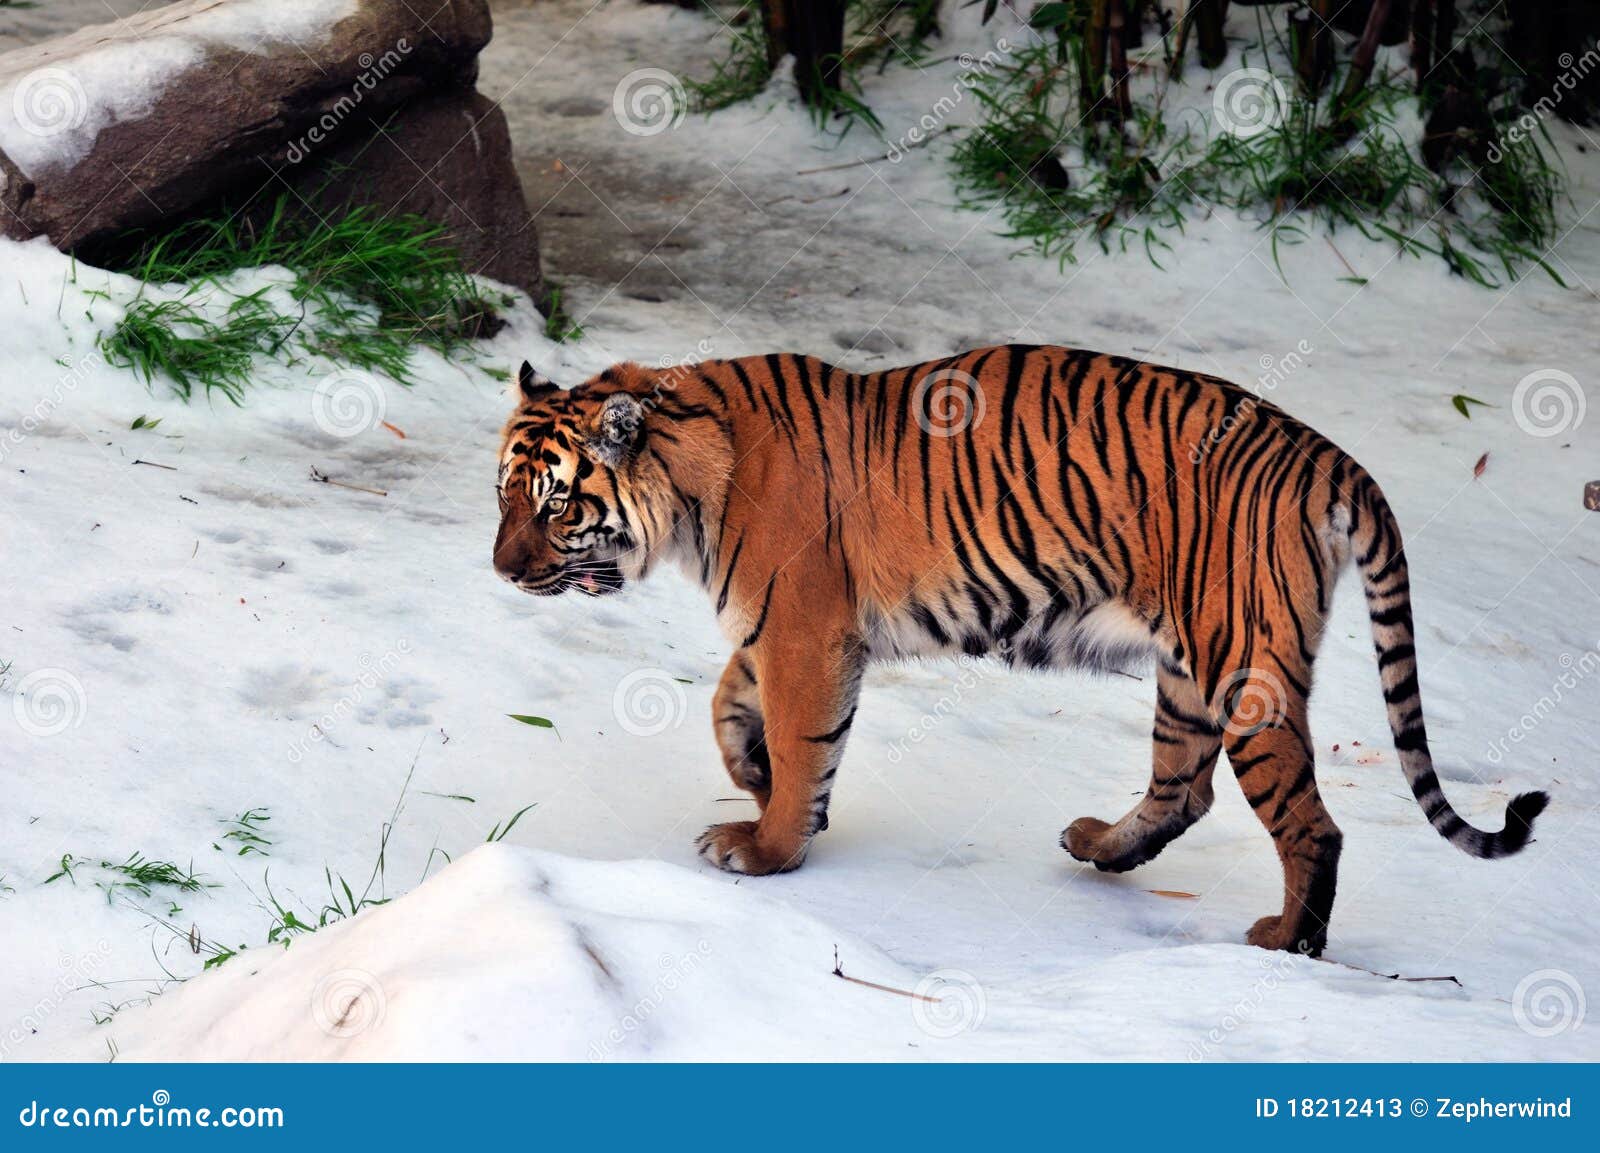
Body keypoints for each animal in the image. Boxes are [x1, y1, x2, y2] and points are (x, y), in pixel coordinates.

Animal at [492, 345, 1548, 955]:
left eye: (554, 504)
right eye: (503, 494)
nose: (500, 569)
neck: (688, 479)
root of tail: (1329, 456)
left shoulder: (804, 628)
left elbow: (799, 739)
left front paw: (769, 845)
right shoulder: (776, 624)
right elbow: (727, 706)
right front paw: (752, 781)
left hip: (1241, 667)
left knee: (1310, 826)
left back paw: (1286, 939)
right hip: (1187, 669)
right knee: (1183, 785)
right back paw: (1103, 847)